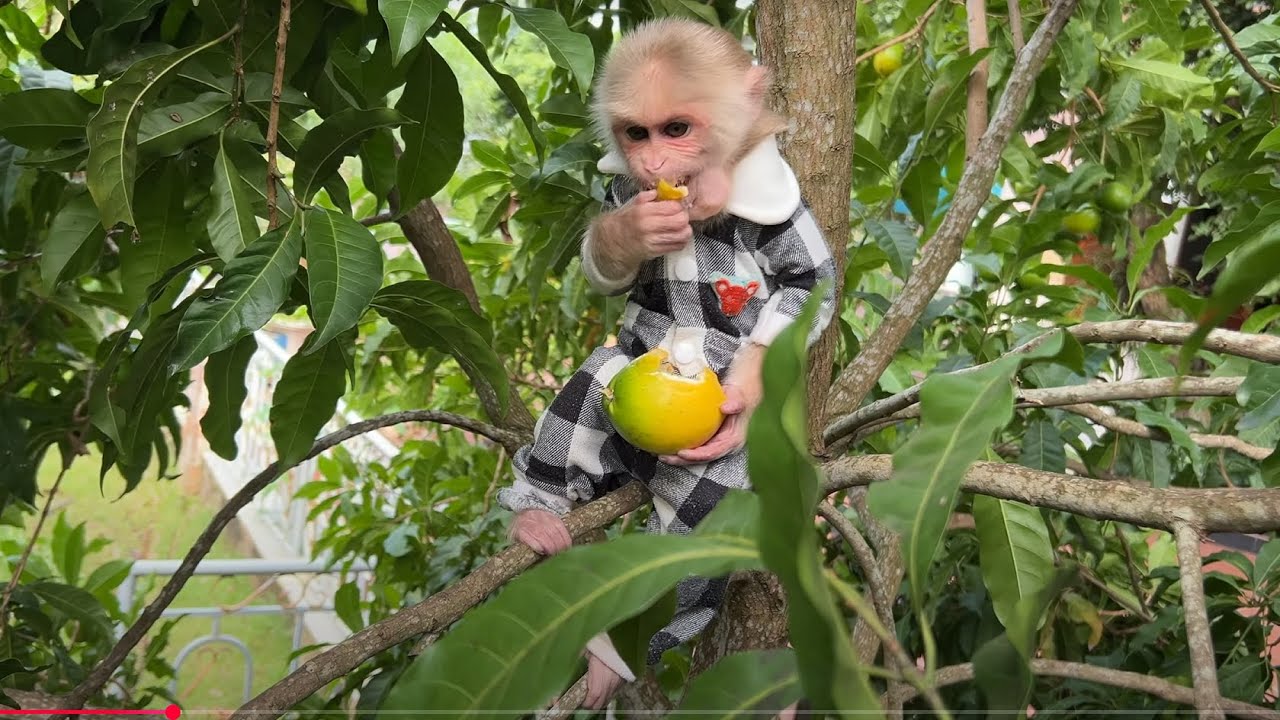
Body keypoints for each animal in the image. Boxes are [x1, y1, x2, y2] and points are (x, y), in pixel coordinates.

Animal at [496, 18, 836, 710]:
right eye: (637, 134)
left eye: (676, 129)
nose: (653, 163)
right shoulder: (620, 187)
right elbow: (606, 269)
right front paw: (634, 233)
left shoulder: (780, 207)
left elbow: (808, 281)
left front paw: (746, 388)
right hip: (613, 407)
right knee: (595, 381)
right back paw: (539, 519)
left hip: (710, 483)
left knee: (699, 525)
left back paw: (626, 656)